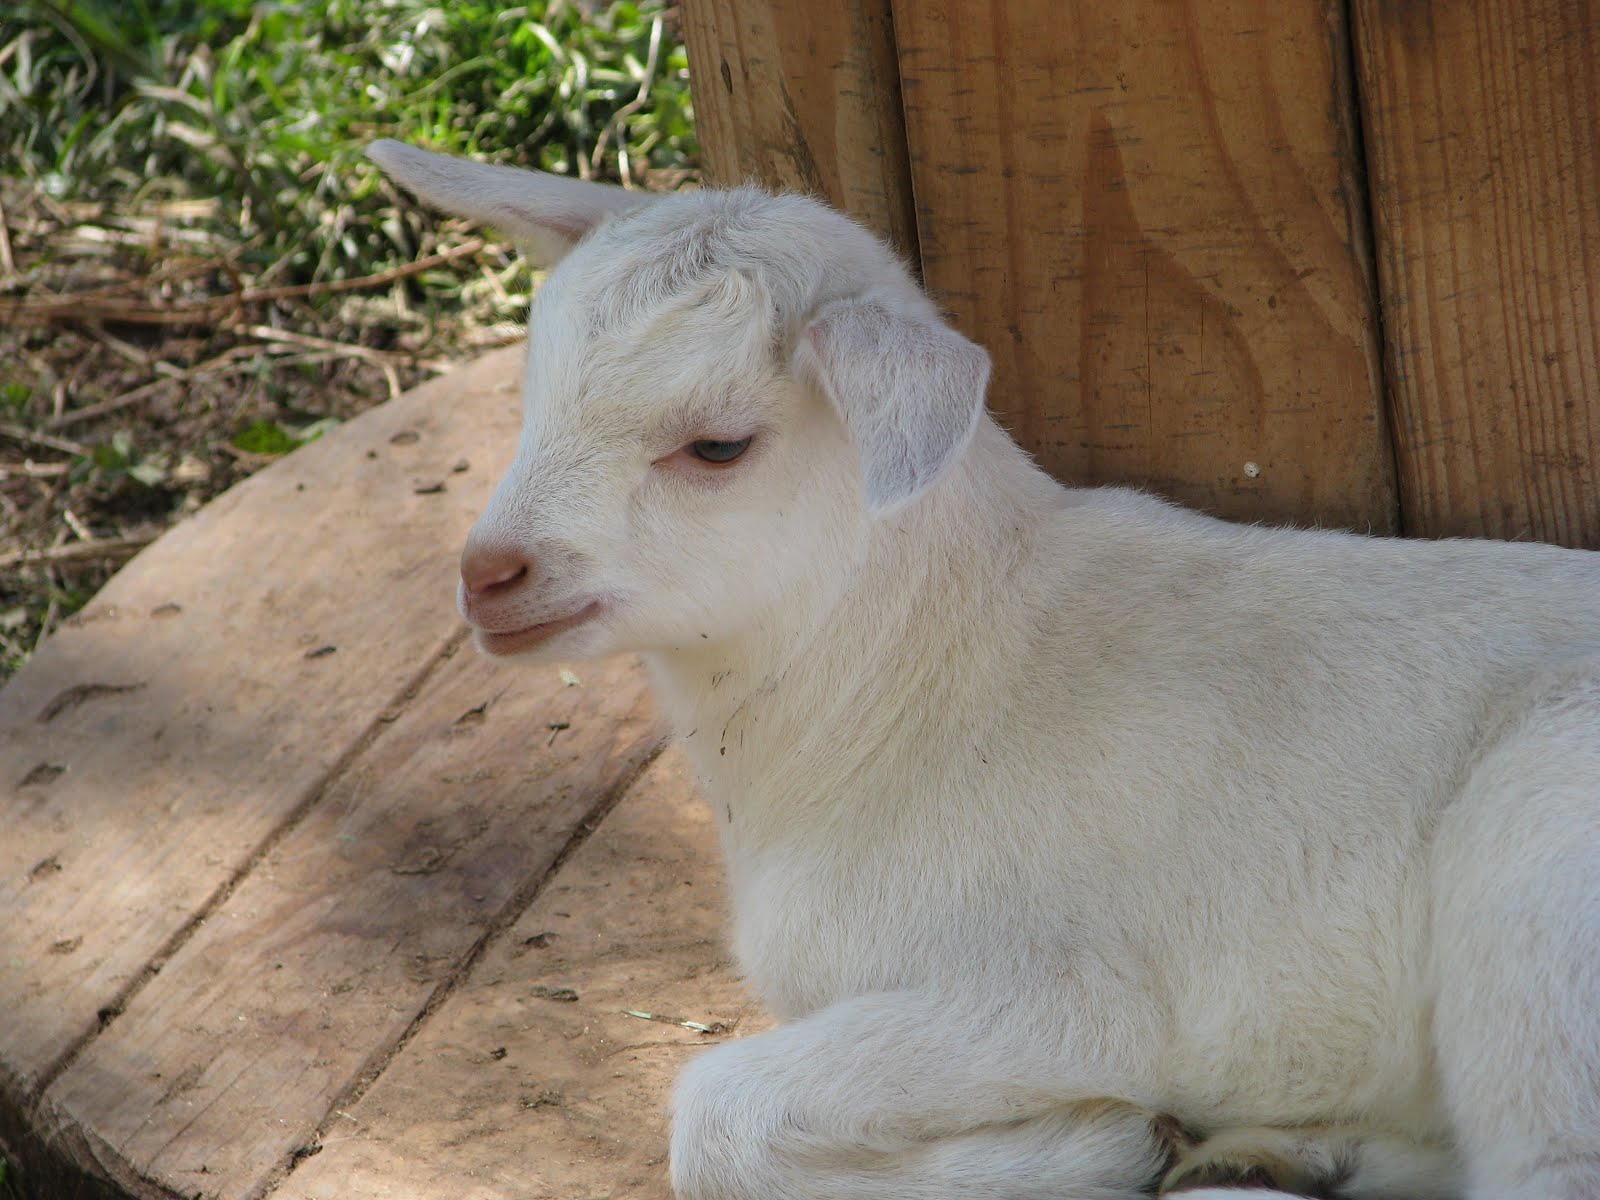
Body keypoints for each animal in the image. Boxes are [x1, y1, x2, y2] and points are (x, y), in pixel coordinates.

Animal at [368, 140, 1600, 1200]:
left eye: (717, 445)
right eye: (534, 390)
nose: (490, 575)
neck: (931, 680)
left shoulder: (1060, 992)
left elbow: (715, 1114)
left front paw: (1104, 1146)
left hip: (1535, 893)